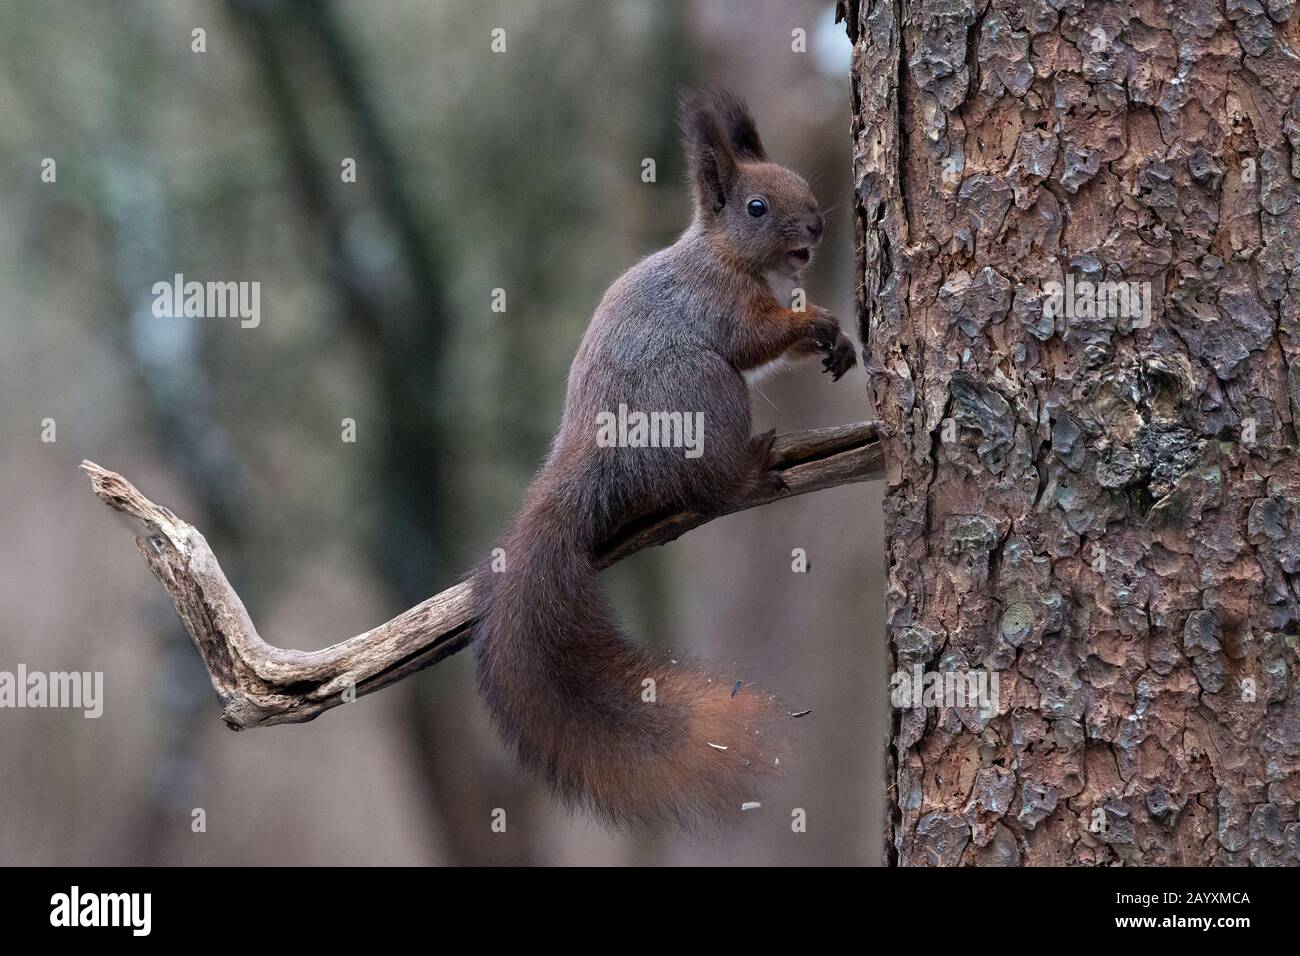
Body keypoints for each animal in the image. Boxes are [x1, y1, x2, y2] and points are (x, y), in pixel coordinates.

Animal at [471, 90, 857, 827]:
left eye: (800, 182)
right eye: (755, 207)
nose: (817, 226)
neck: (723, 255)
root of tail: (595, 460)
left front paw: (838, 342)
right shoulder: (721, 305)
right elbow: (756, 340)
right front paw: (818, 321)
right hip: (702, 393)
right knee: (710, 487)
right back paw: (750, 475)